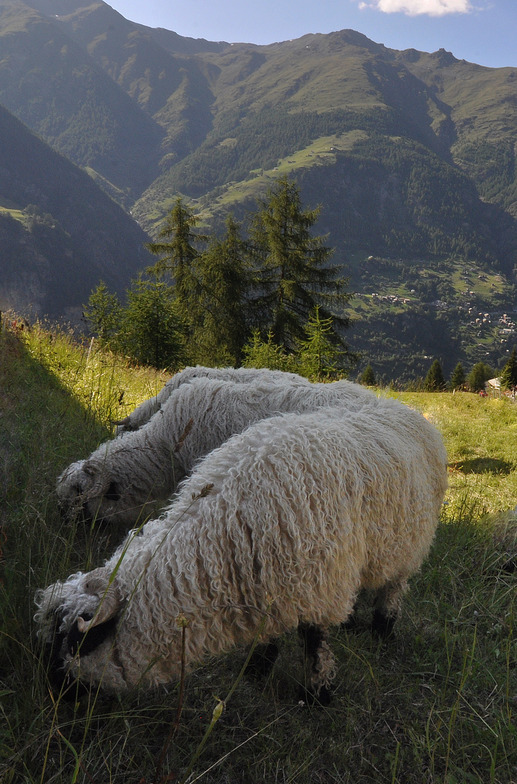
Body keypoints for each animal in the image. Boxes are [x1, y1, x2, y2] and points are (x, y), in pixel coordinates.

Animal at [36, 398, 448, 700]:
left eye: (77, 641)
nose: (53, 693)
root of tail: (407, 408)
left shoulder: (320, 585)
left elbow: (315, 643)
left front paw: (319, 693)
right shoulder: (269, 585)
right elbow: (269, 635)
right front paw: (259, 668)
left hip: (410, 547)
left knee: (394, 588)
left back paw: (383, 628)